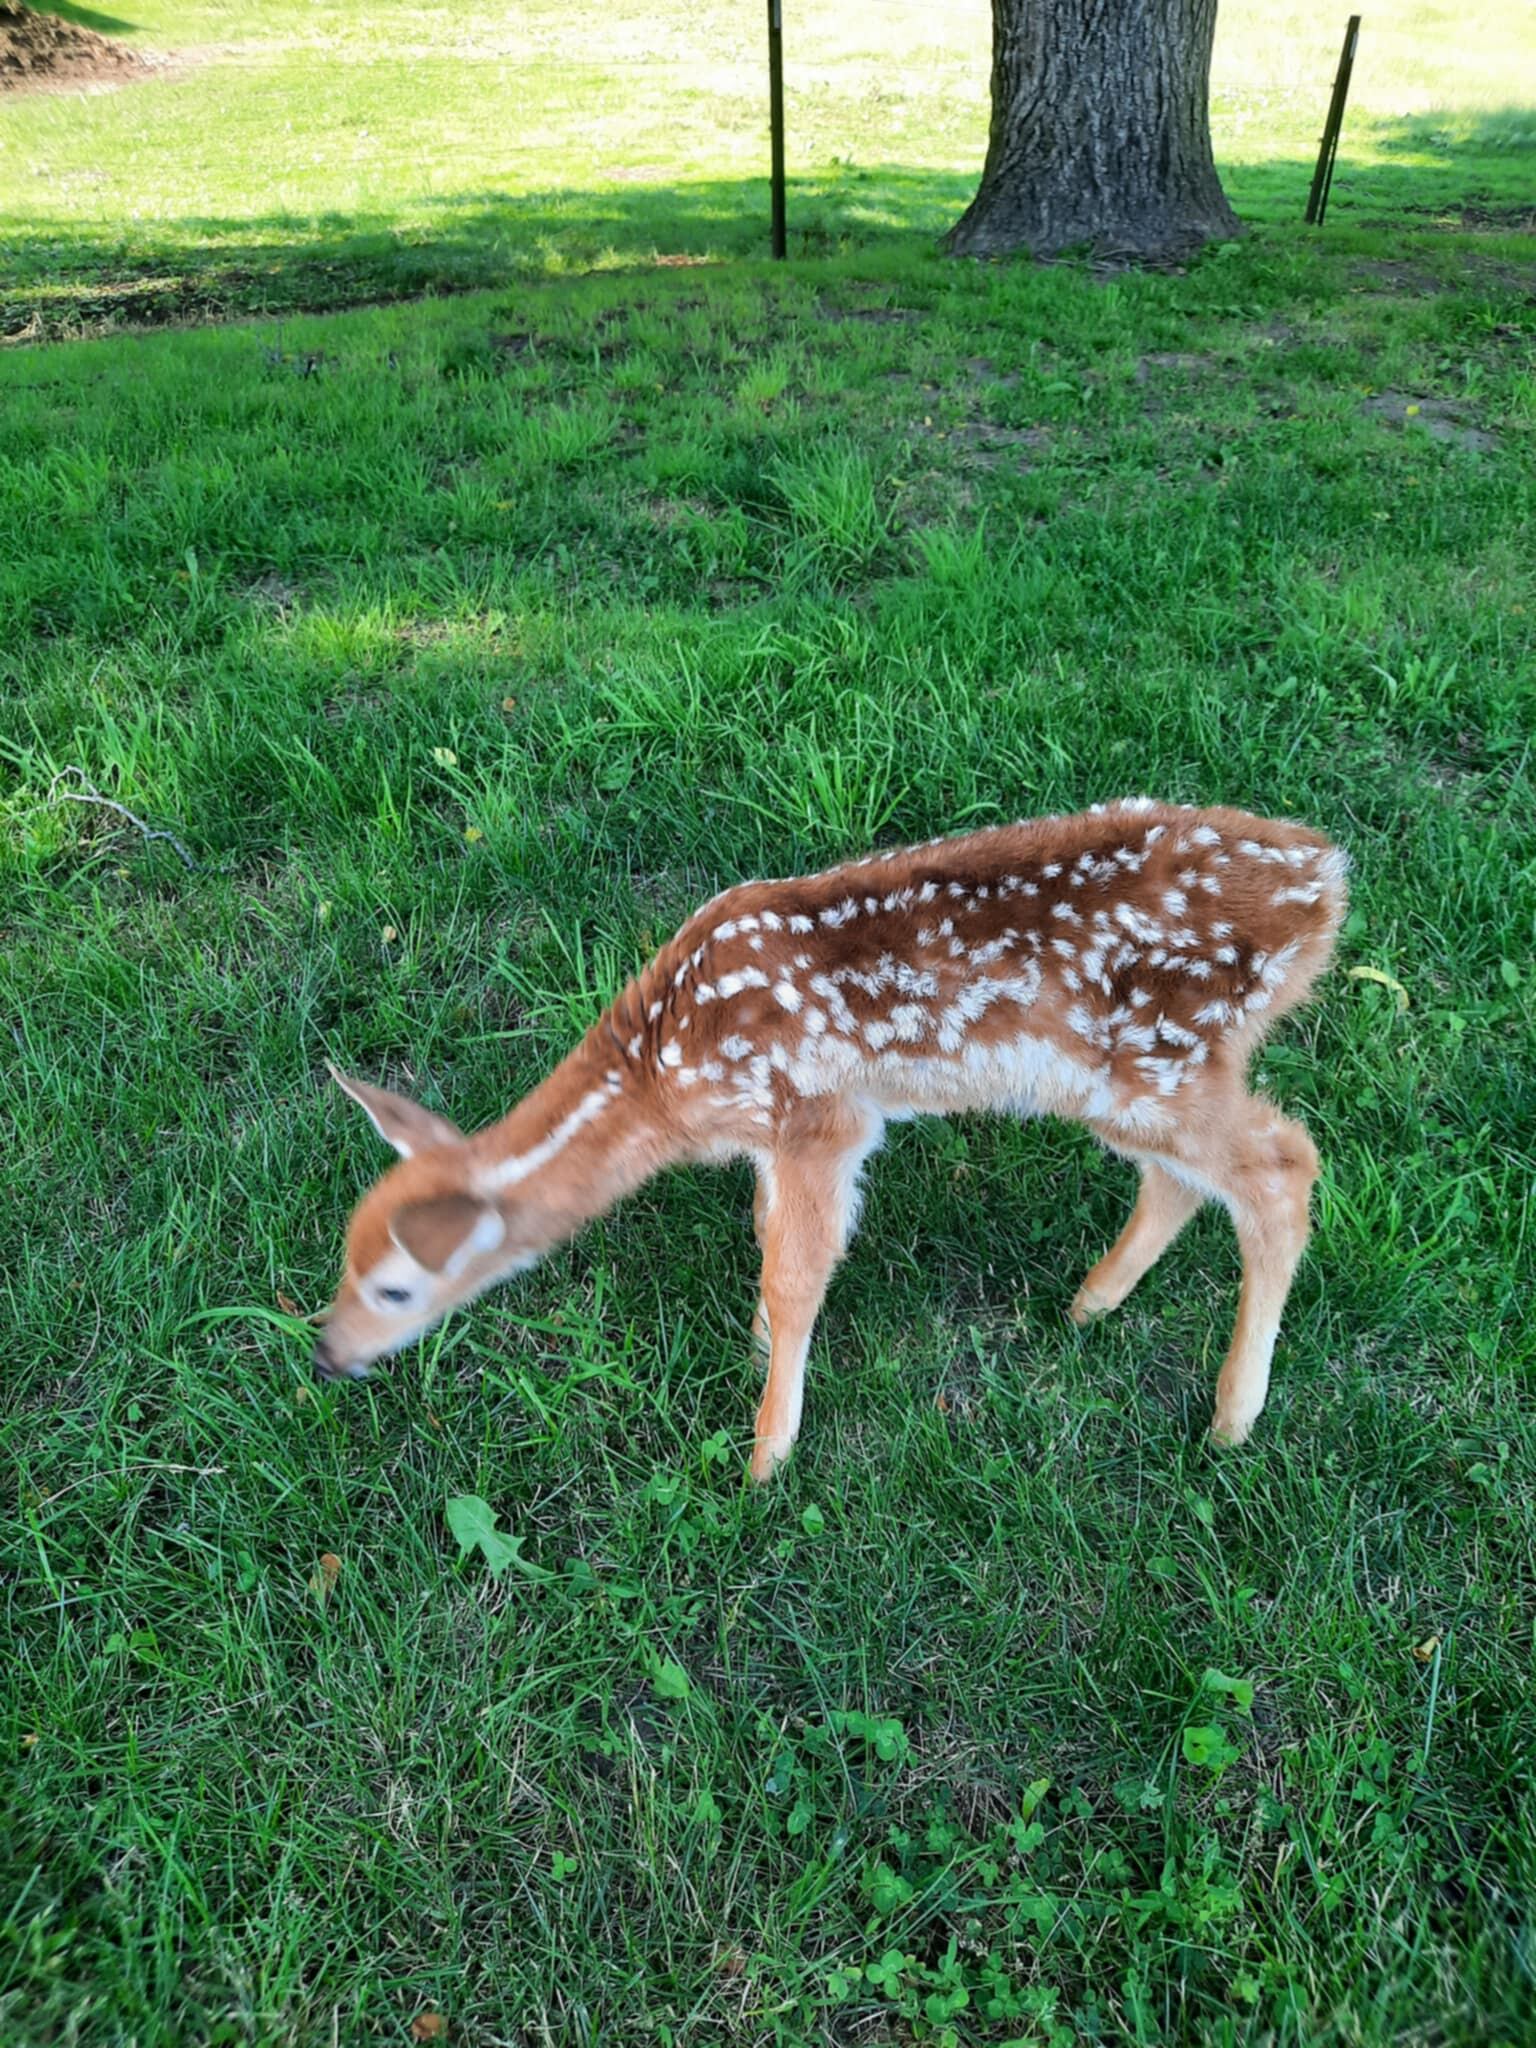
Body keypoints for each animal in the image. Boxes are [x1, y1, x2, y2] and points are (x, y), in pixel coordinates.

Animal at [315, 799, 1348, 1480]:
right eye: (343, 1257)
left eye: (395, 1286)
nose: (327, 1355)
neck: (664, 1073)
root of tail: (1326, 886)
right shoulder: (779, 1140)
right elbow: (769, 1237)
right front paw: (757, 1351)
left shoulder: (822, 1115)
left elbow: (797, 1269)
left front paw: (766, 1452)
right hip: (1140, 1077)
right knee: (1188, 1178)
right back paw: (1091, 1304)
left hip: (1158, 1060)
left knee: (1282, 1163)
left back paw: (1231, 1419)